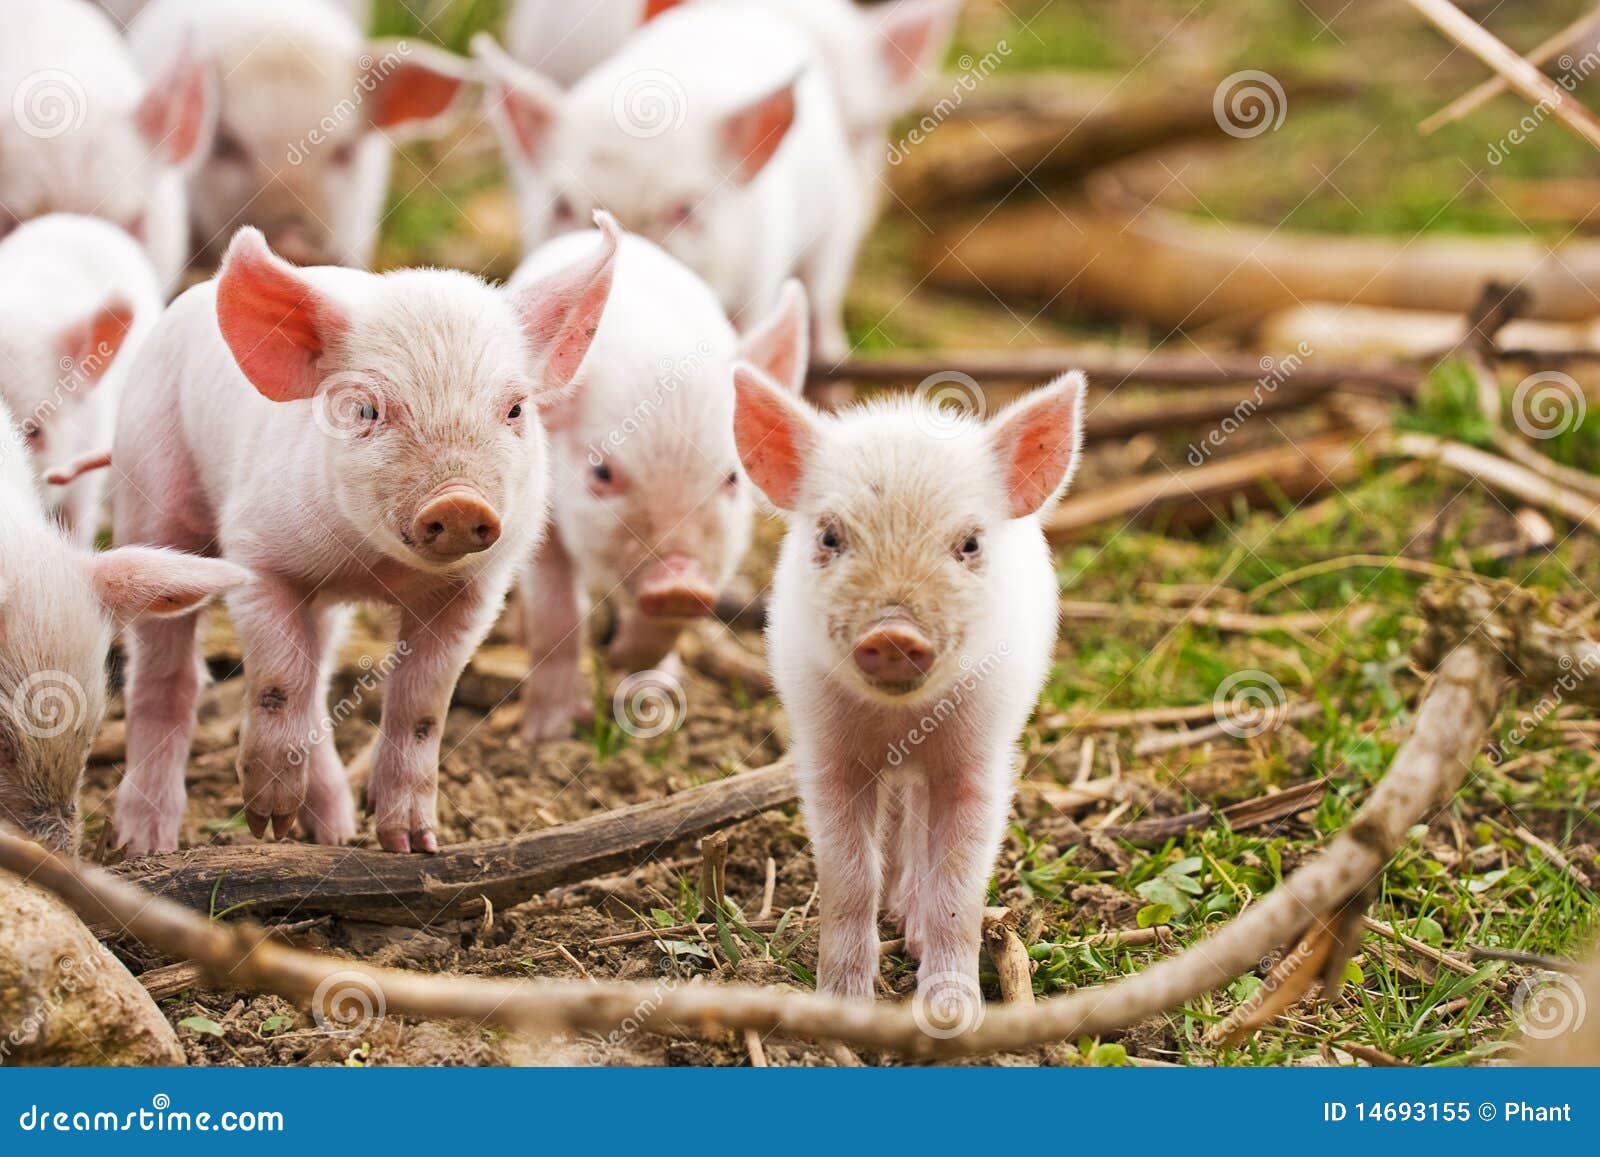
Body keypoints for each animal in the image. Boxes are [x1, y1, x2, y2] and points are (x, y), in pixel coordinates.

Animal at [108, 218, 619, 856]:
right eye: (366, 410)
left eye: (516, 409)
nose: (458, 500)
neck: (376, 570)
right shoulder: (257, 553)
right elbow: (278, 681)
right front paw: (266, 823)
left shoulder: (475, 593)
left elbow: (422, 707)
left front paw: (413, 845)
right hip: (148, 491)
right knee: (167, 674)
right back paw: (145, 845)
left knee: (319, 679)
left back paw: (334, 831)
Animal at [508, 229, 808, 744]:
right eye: (602, 473)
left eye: (732, 478)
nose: (679, 582)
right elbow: (557, 615)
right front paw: (549, 737)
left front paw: (631, 670)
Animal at [732, 366, 1084, 1004]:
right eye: (829, 537)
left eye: (969, 544)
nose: (894, 632)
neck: (900, 721)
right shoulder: (829, 753)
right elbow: (848, 878)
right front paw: (844, 1000)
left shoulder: (979, 757)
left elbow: (959, 887)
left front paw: (951, 1007)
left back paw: (912, 929)